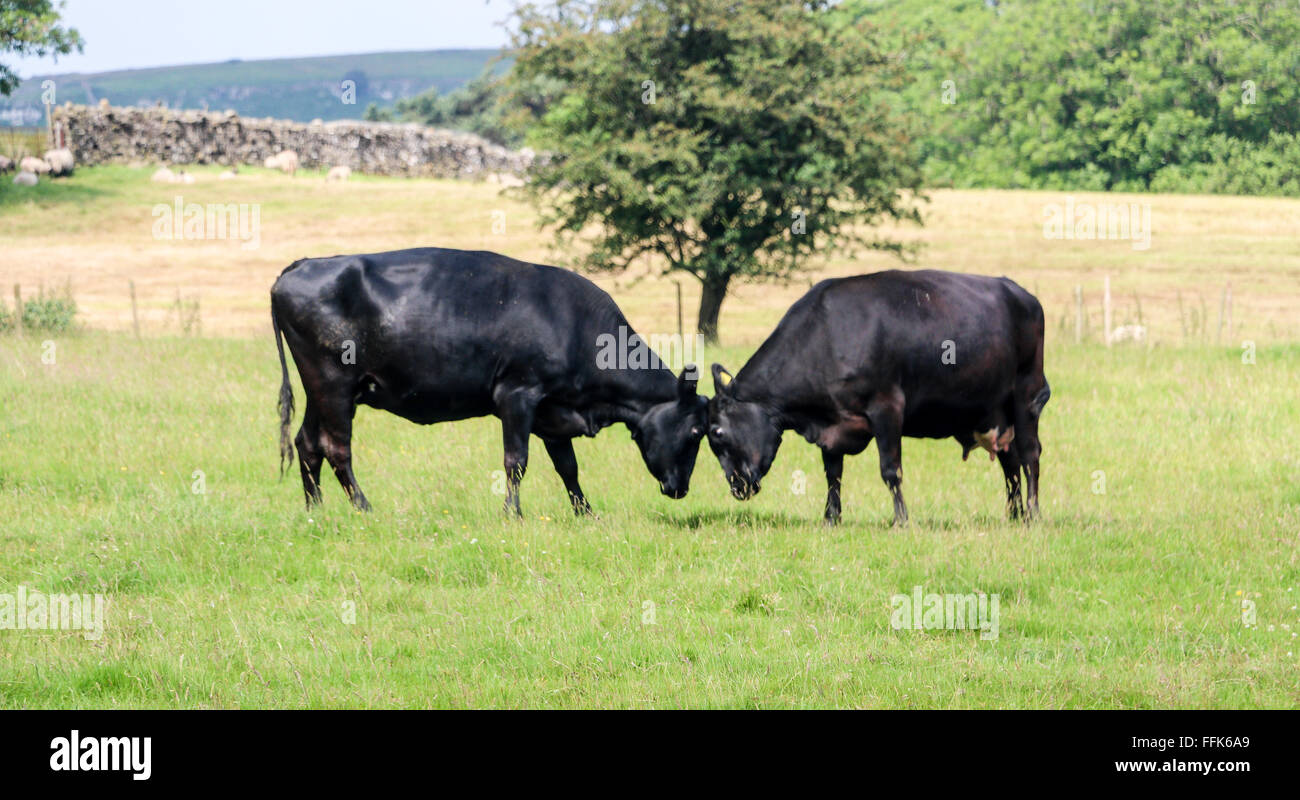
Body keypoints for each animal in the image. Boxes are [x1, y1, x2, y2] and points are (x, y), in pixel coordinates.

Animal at [270, 247, 708, 515]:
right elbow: (516, 462)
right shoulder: (517, 394)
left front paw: (585, 513)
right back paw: (364, 508)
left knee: (307, 444)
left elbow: (568, 467)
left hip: (321, 390)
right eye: (695, 432)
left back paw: (316, 511)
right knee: (336, 448)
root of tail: (304, 264)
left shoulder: (553, 410)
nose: (681, 488)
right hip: (333, 384)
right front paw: (513, 513)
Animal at [706, 270, 1050, 526]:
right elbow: (833, 474)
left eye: (717, 432)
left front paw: (901, 520)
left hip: (1026, 395)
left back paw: (1032, 514)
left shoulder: (887, 408)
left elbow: (890, 469)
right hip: (996, 413)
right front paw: (831, 518)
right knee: (1010, 462)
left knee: (1030, 455)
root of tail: (1024, 294)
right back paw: (1013, 515)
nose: (737, 486)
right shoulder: (832, 426)